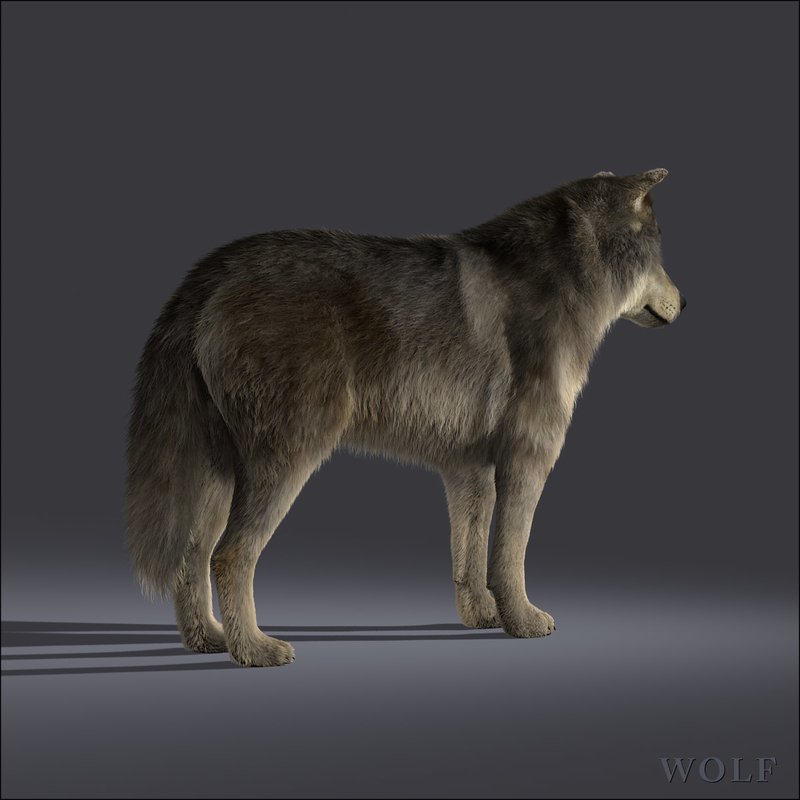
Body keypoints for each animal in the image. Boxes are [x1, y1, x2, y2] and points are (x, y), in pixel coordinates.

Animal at [126, 169, 685, 667]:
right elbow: (511, 553)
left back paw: (208, 641)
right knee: (229, 555)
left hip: (217, 471)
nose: (685, 300)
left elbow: (469, 555)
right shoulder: (527, 456)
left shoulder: (469, 470)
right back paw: (255, 651)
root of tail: (212, 270)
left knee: (191, 558)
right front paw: (523, 620)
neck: (562, 276)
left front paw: (483, 616)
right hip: (284, 460)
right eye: (659, 252)